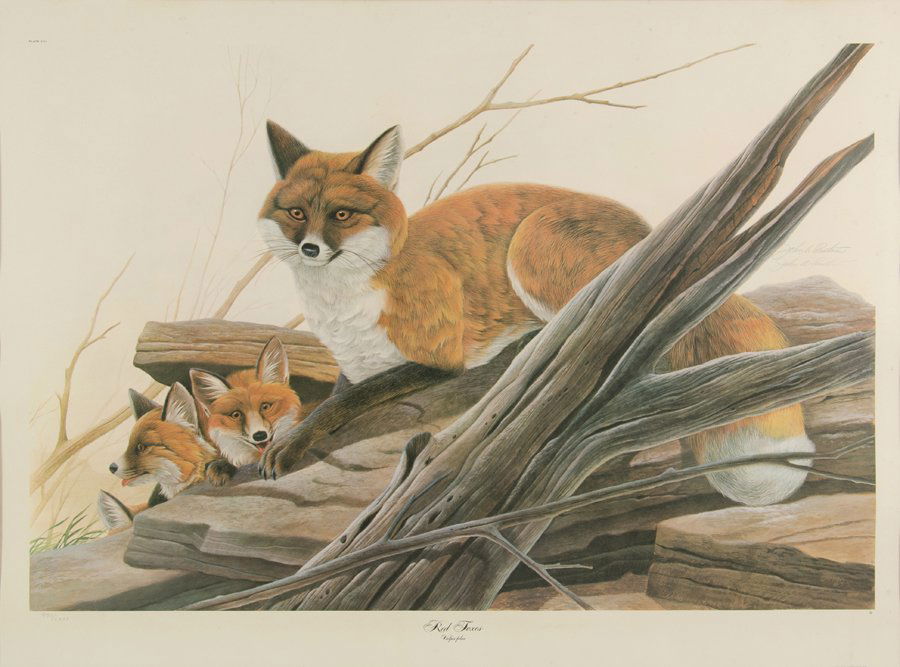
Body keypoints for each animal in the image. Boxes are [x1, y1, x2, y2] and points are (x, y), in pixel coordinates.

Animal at [254, 121, 814, 506]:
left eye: (342, 215)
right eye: (296, 213)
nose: (309, 249)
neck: (345, 303)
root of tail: (652, 228)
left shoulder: (438, 360)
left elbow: (343, 405)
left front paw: (288, 445)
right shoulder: (354, 364)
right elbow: (330, 400)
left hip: (531, 249)